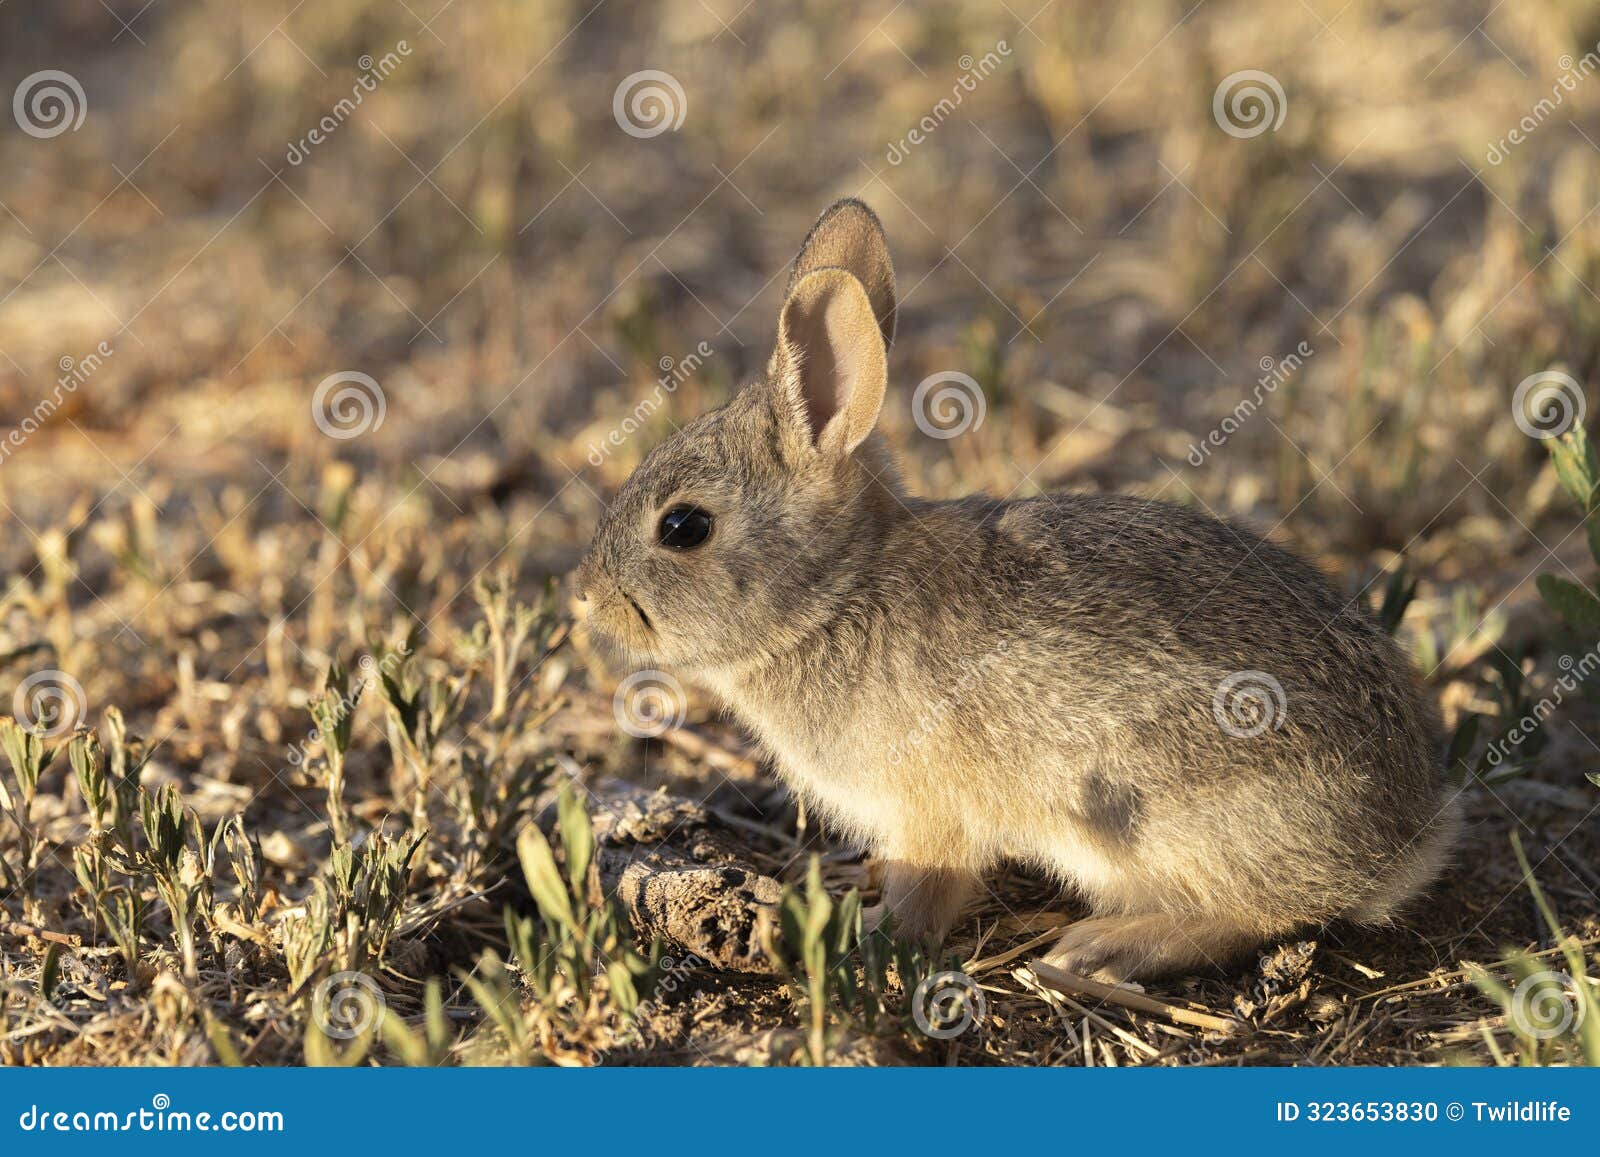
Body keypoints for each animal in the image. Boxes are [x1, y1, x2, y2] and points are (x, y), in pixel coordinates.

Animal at [575, 198, 1459, 981]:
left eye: (684, 526)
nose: (585, 597)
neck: (836, 591)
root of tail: (1406, 836)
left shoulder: (931, 811)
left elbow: (925, 892)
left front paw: (872, 933)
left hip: (1154, 823)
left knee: (1262, 913)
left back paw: (1106, 949)